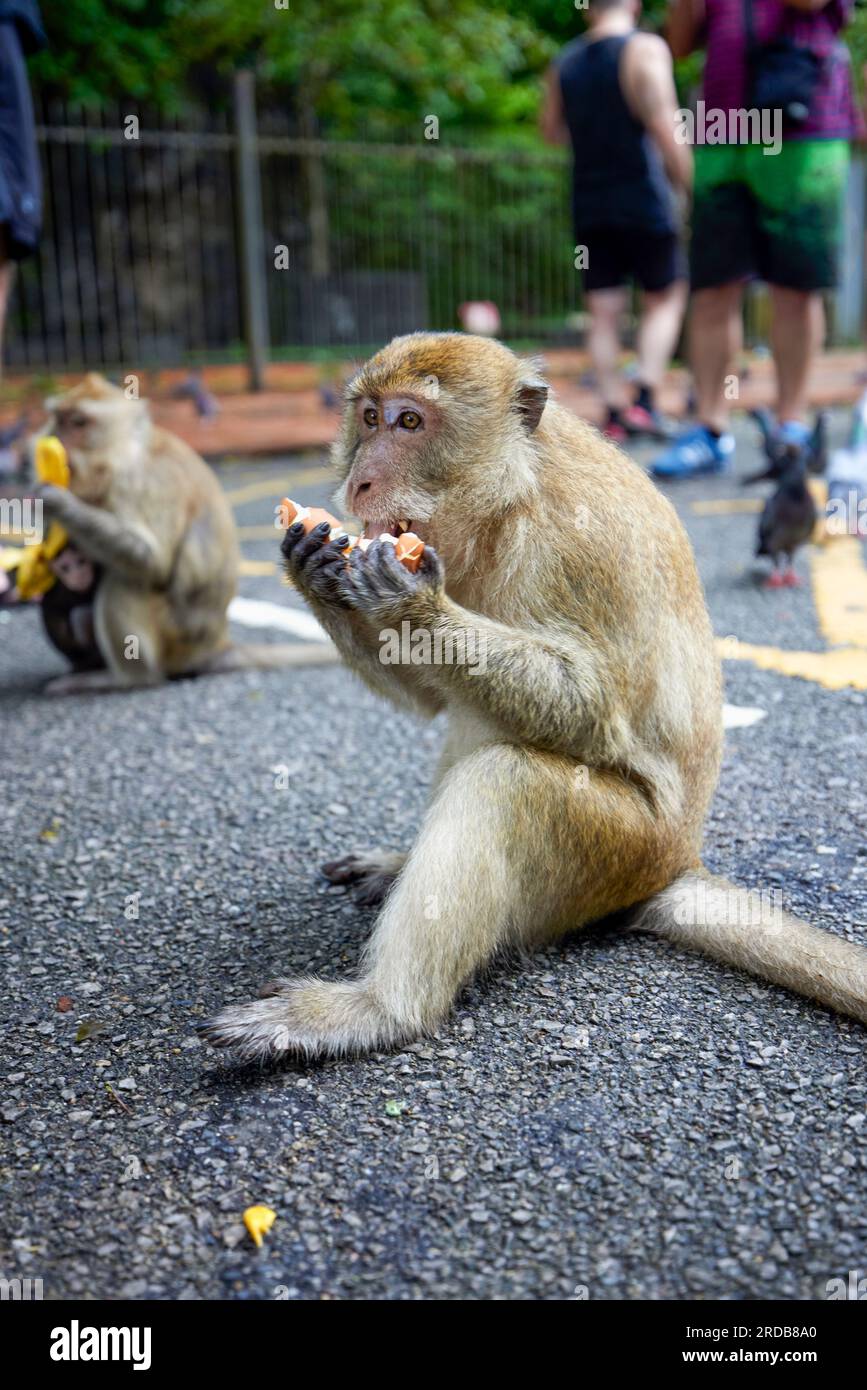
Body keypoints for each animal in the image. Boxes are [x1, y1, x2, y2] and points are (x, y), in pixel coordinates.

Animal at [34, 374, 337, 695]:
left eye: (78, 423)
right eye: (59, 419)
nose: (56, 439)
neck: (129, 453)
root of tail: (214, 644)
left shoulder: (145, 482)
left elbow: (151, 561)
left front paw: (56, 501)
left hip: (173, 639)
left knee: (125, 580)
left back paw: (126, 678)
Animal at [200, 332, 867, 1061]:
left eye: (410, 422)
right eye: (370, 418)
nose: (359, 480)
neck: (509, 500)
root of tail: (674, 864)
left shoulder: (578, 547)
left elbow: (596, 709)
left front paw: (413, 604)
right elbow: (435, 699)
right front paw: (314, 567)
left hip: (615, 853)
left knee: (507, 780)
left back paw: (380, 1010)